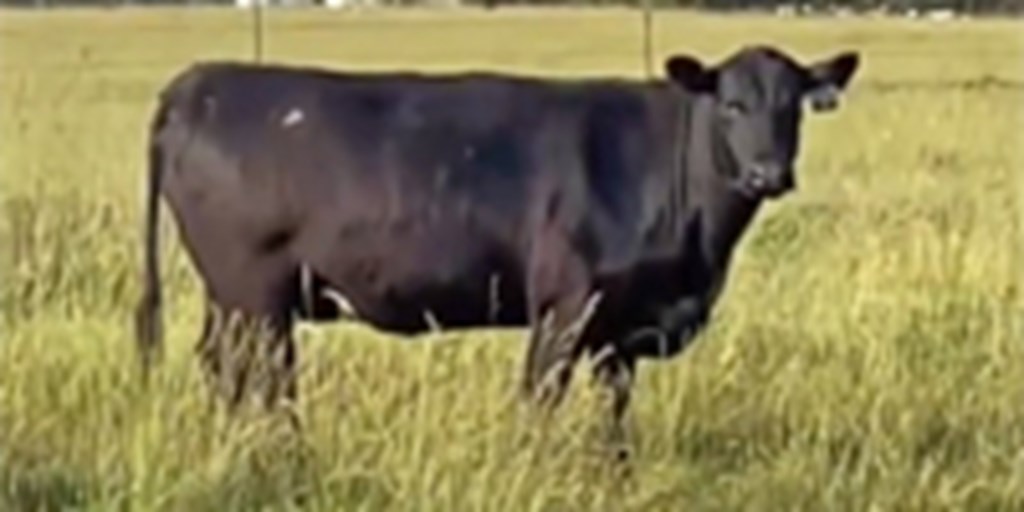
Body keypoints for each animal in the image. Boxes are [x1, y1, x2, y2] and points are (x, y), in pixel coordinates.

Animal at [135, 45, 859, 451]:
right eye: (731, 105)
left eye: (793, 105)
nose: (768, 173)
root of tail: (197, 82)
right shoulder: (564, 305)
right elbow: (539, 402)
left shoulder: (622, 331)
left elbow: (615, 418)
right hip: (254, 292)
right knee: (266, 380)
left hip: (233, 297)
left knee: (223, 370)